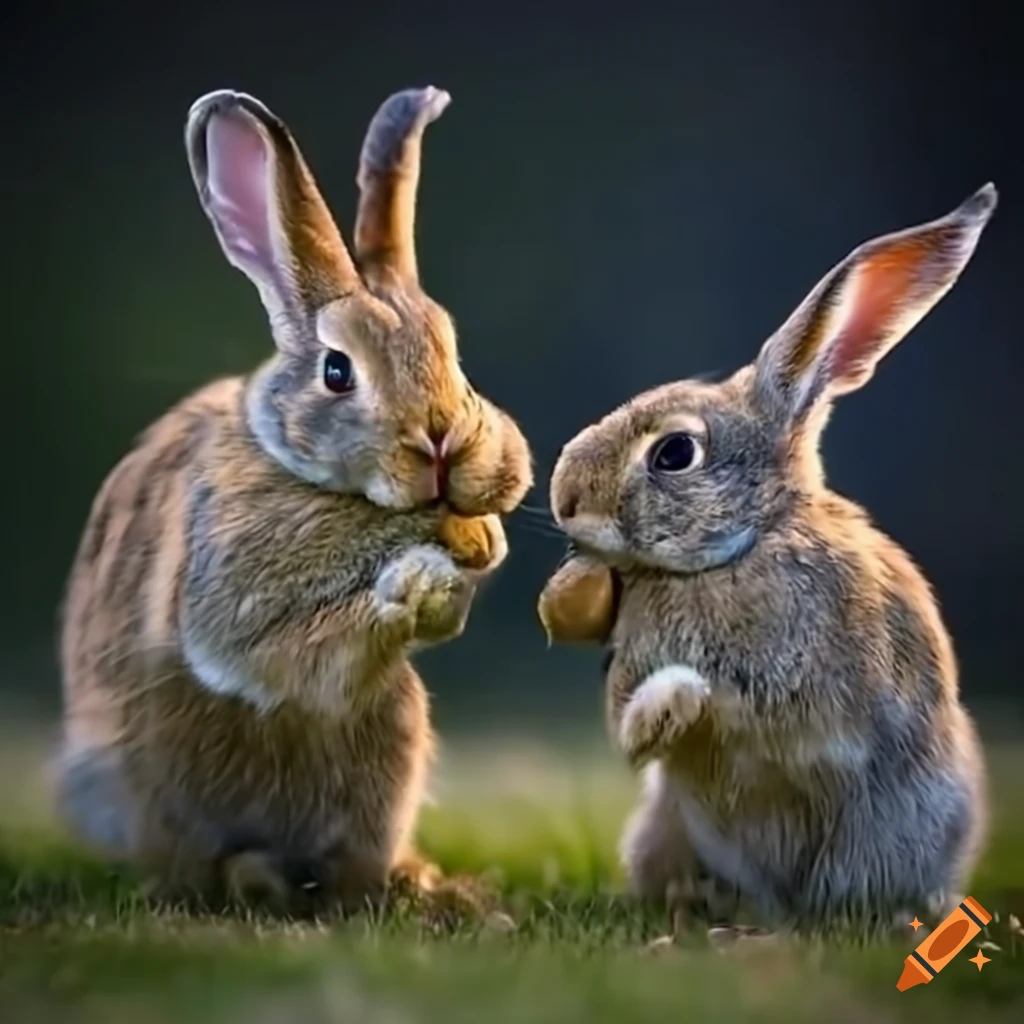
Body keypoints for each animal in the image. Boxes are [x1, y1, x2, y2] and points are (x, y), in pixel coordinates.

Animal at [56, 85, 532, 913]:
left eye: (454, 357)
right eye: (338, 372)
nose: (443, 443)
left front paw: (466, 560)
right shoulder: (228, 598)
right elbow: (281, 648)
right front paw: (412, 590)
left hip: (394, 747)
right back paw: (250, 880)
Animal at [543, 185, 997, 935]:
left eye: (674, 453)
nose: (565, 499)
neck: (745, 545)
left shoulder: (810, 694)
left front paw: (680, 695)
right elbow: (638, 737)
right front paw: (664, 707)